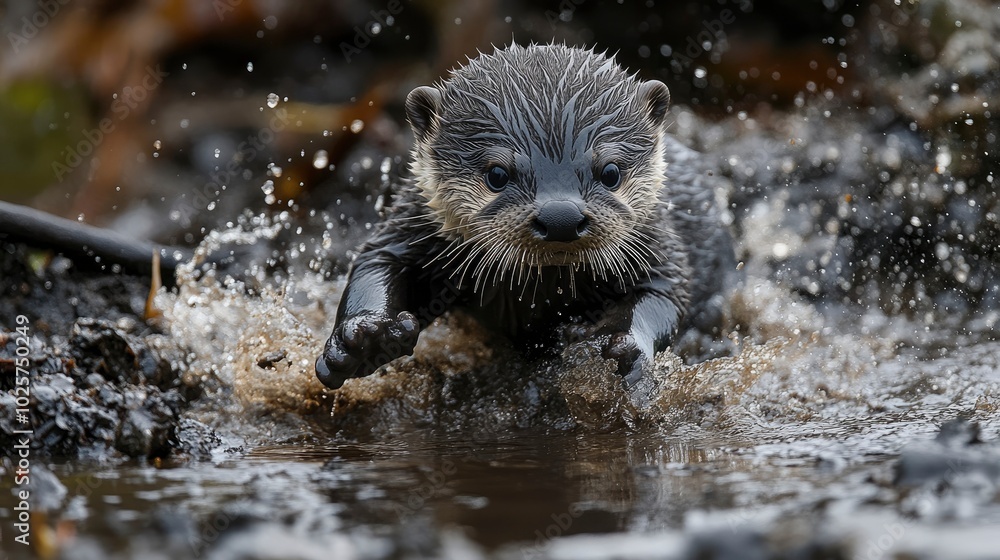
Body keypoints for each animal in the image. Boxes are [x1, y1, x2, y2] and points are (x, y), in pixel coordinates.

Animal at [316, 43, 735, 390]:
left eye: (611, 171)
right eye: (497, 174)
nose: (561, 216)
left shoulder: (658, 246)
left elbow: (664, 292)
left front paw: (618, 343)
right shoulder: (414, 225)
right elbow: (377, 261)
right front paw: (365, 339)